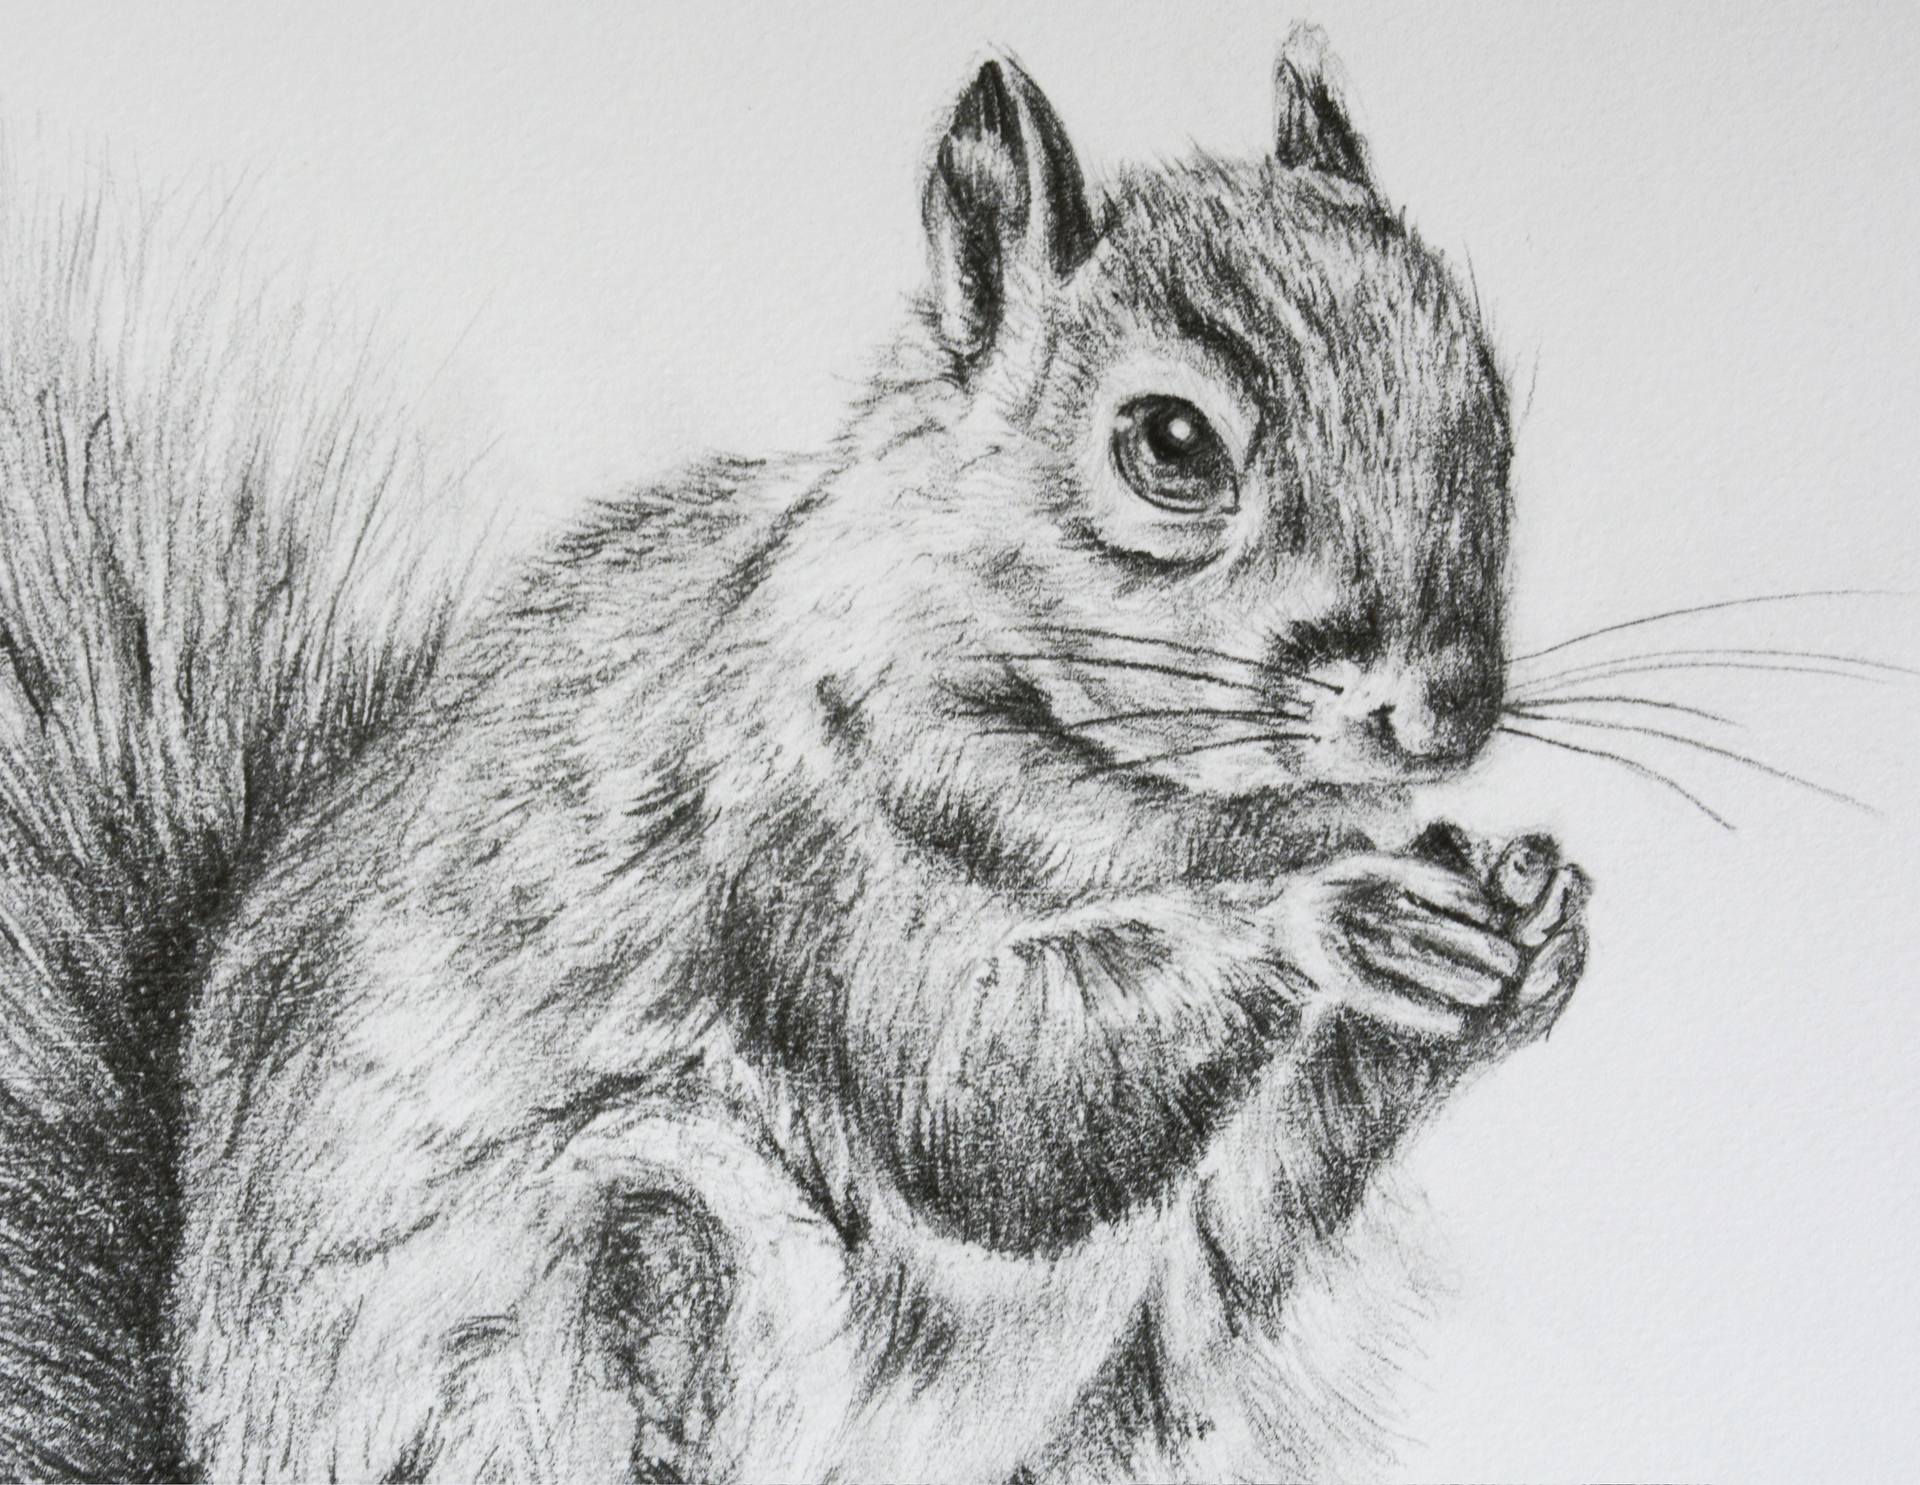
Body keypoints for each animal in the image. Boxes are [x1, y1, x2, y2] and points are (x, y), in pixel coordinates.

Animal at [0, 29, 1589, 1484]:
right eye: (1170, 442)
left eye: (1490, 401)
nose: (1448, 708)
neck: (1173, 814)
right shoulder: (797, 842)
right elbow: (986, 1107)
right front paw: (1338, 917)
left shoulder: (1198, 1236)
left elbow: (1238, 1218)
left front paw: (1525, 930)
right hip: (611, 1266)